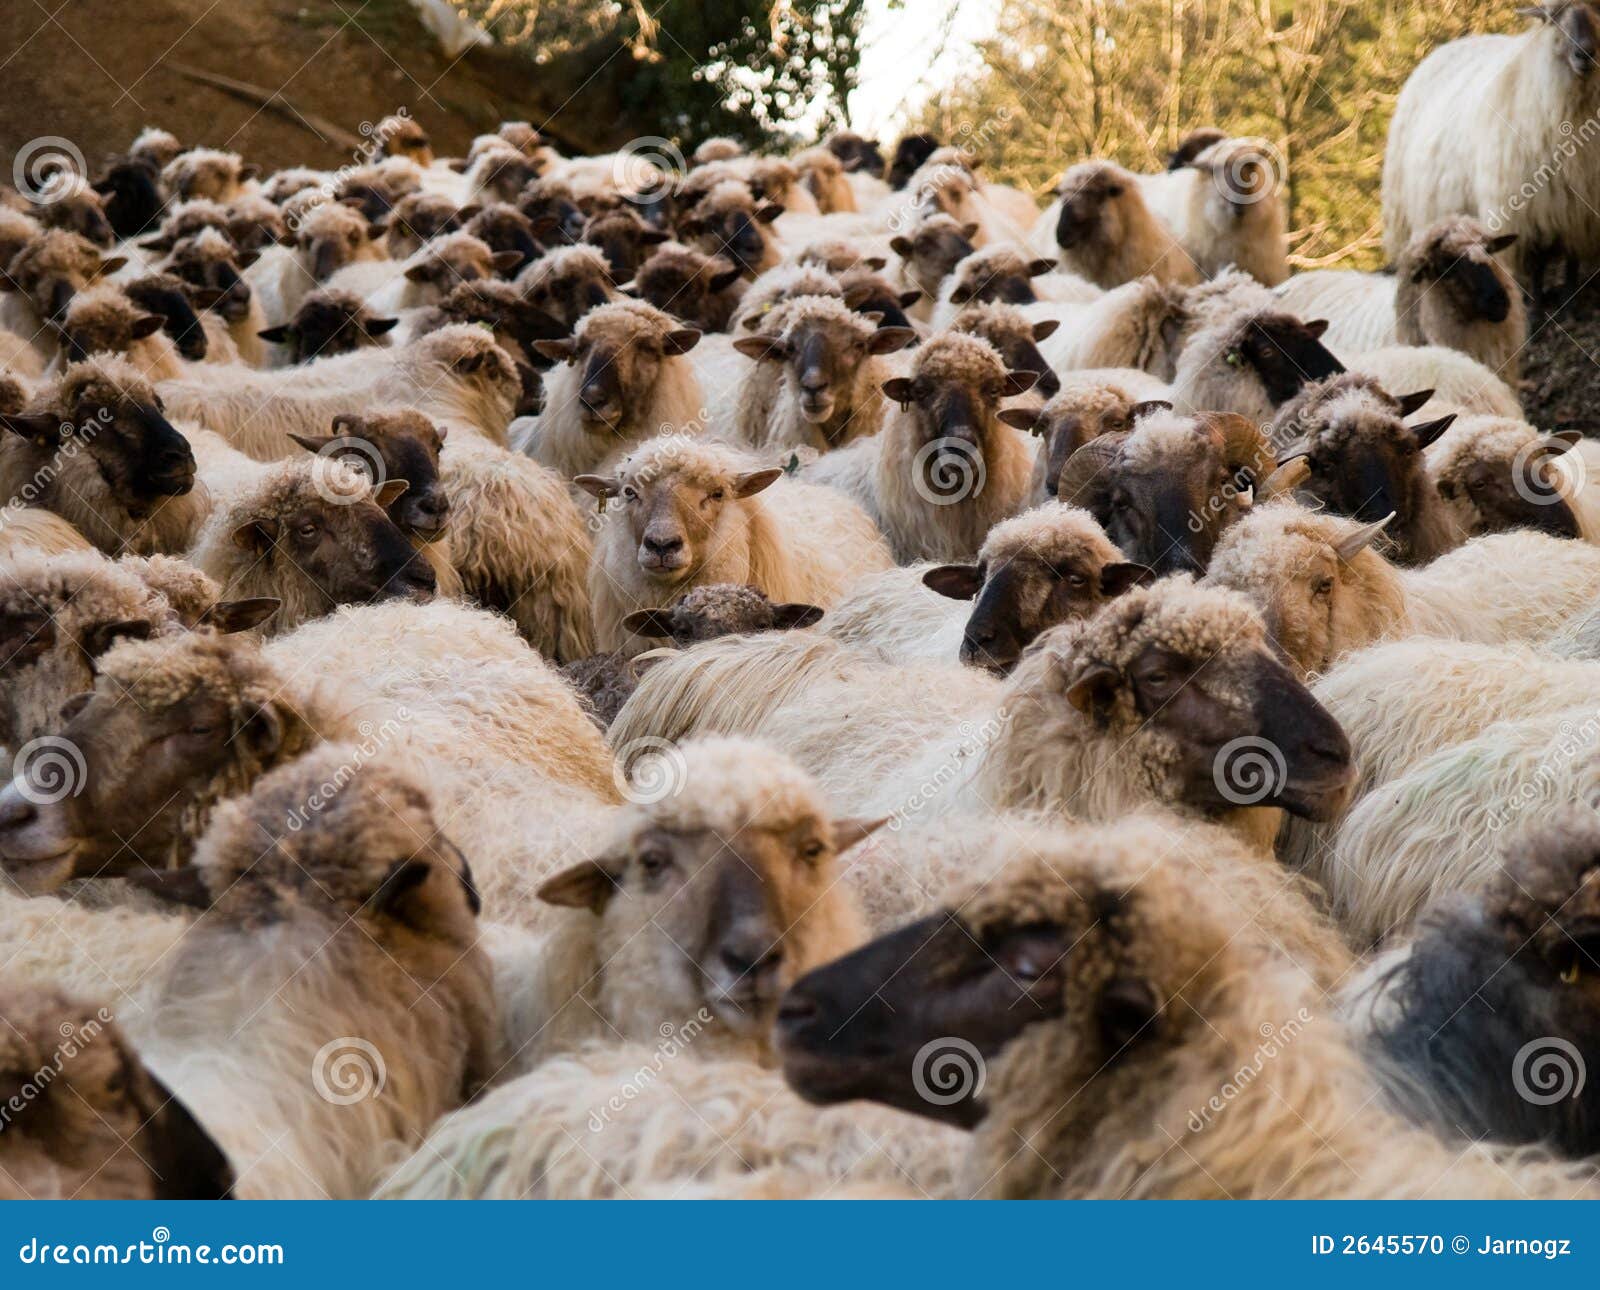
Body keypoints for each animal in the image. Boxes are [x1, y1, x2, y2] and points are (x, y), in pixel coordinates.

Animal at [1382, 3, 1600, 302]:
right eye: (1552, 17)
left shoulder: (1579, 210)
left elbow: (1571, 262)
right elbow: (1536, 265)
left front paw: (1569, 297)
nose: (1585, 53)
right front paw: (1535, 306)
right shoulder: (1525, 210)